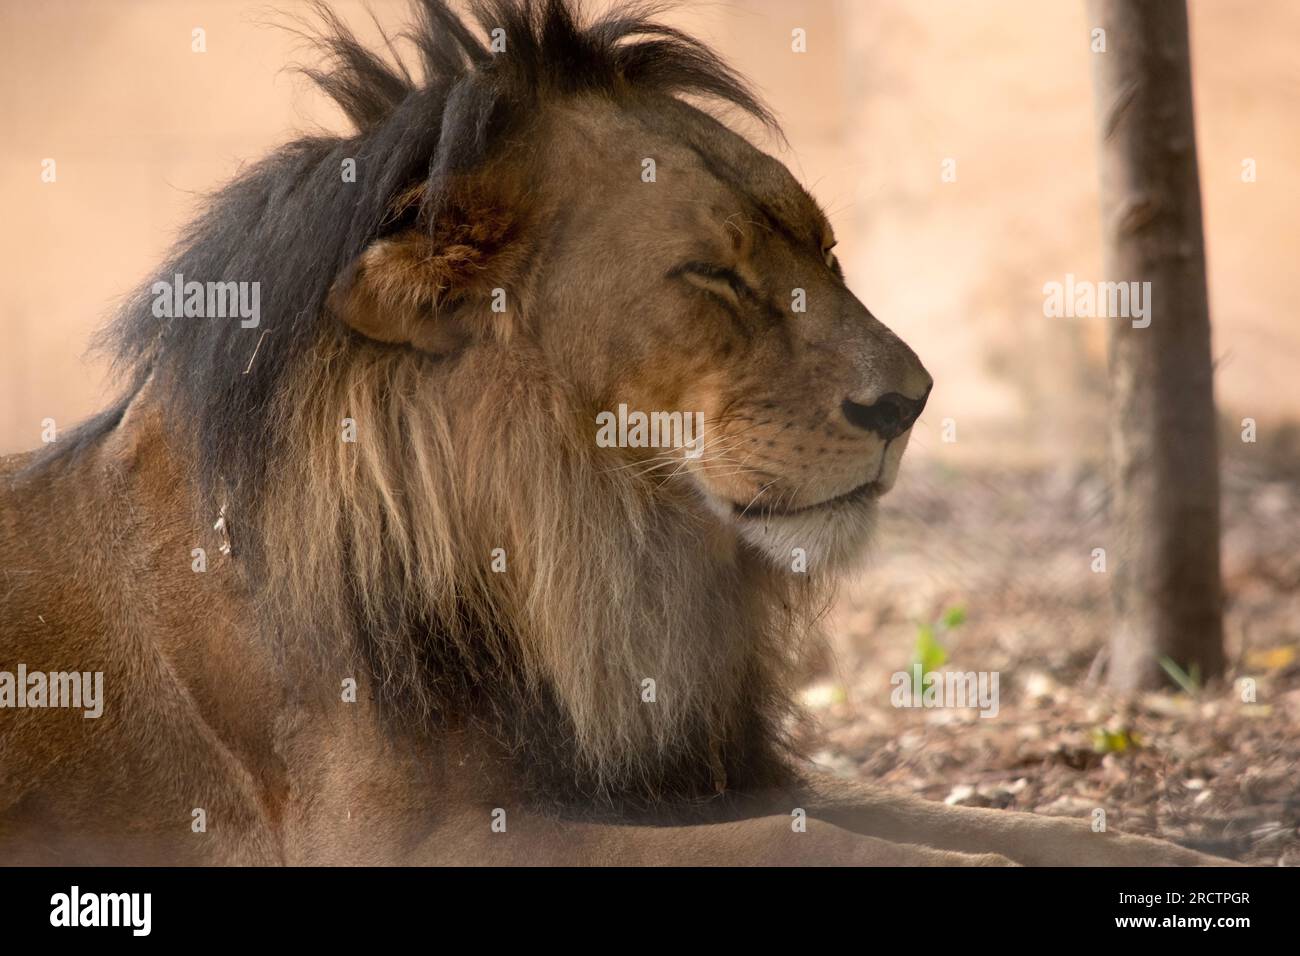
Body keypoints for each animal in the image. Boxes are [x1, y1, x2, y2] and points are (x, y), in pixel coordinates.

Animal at [0, 0, 1223, 866]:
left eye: (826, 251)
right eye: (715, 275)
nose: (911, 401)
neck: (598, 543)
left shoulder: (709, 766)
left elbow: (985, 824)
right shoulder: (412, 840)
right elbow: (827, 851)